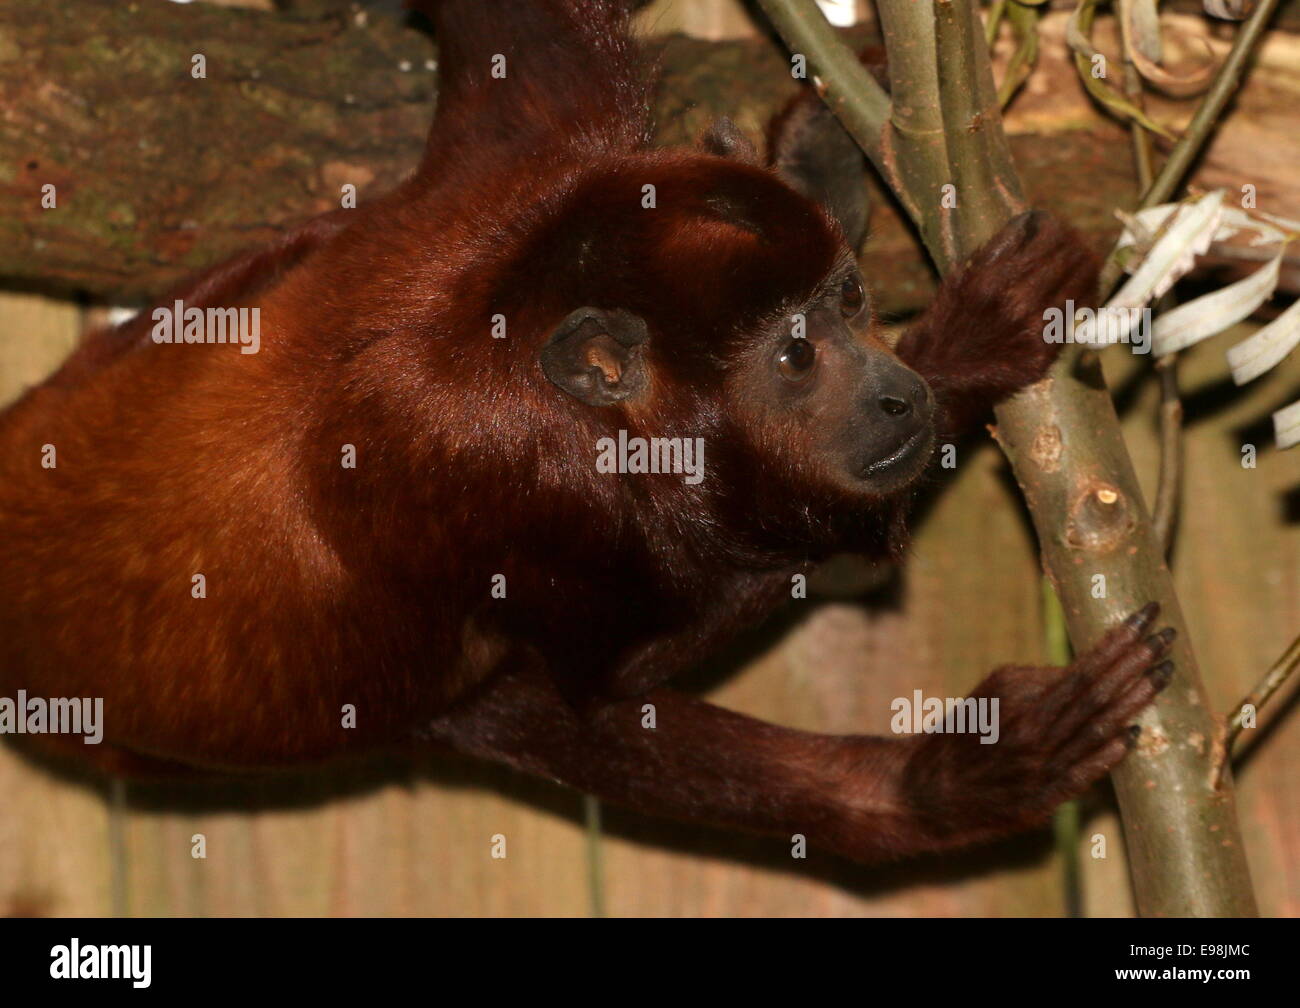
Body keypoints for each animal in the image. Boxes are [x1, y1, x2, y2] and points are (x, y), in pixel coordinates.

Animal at [0, 0, 1175, 865]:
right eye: (794, 357)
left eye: (847, 302)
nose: (897, 394)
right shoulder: (488, 478)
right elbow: (597, 692)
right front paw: (965, 348)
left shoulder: (535, 163)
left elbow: (521, 38)